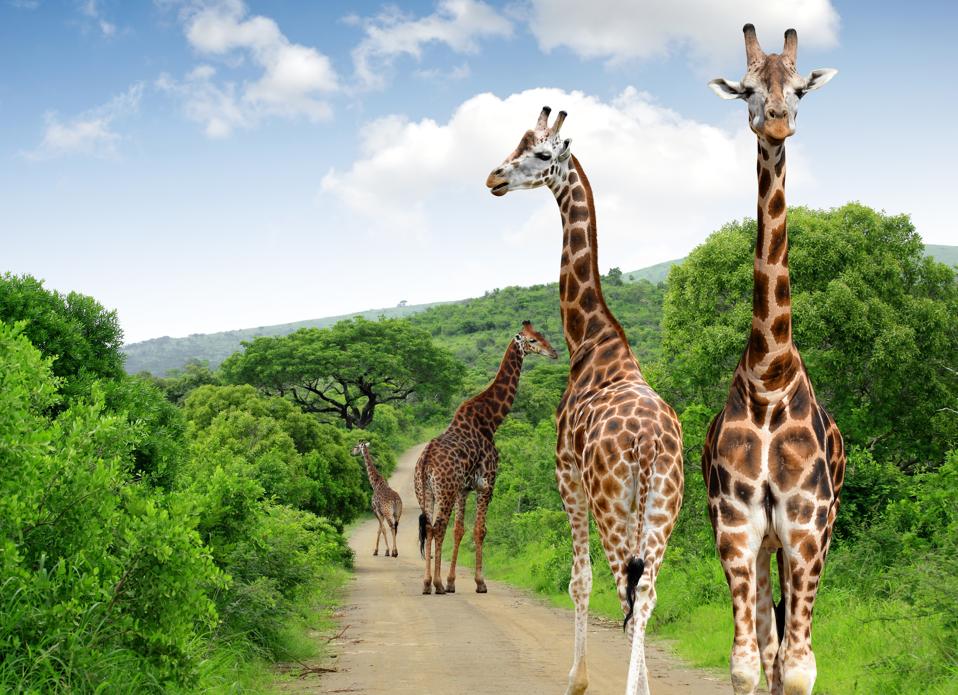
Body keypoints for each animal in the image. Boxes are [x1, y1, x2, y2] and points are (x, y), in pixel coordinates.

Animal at [416, 321, 557, 595]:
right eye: (532, 340)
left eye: (541, 334)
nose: (554, 352)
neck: (490, 420)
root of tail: (425, 461)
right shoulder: (487, 483)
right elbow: (480, 530)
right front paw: (479, 582)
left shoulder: (464, 489)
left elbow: (459, 530)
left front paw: (452, 581)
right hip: (445, 491)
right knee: (437, 528)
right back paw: (435, 584)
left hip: (425, 492)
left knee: (429, 527)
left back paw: (428, 583)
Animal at [486, 107, 684, 695]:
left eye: (539, 154)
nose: (493, 178)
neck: (590, 340)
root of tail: (648, 445)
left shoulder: (565, 474)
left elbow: (580, 580)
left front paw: (576, 679)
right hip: (665, 506)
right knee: (647, 593)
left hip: (610, 499)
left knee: (627, 589)